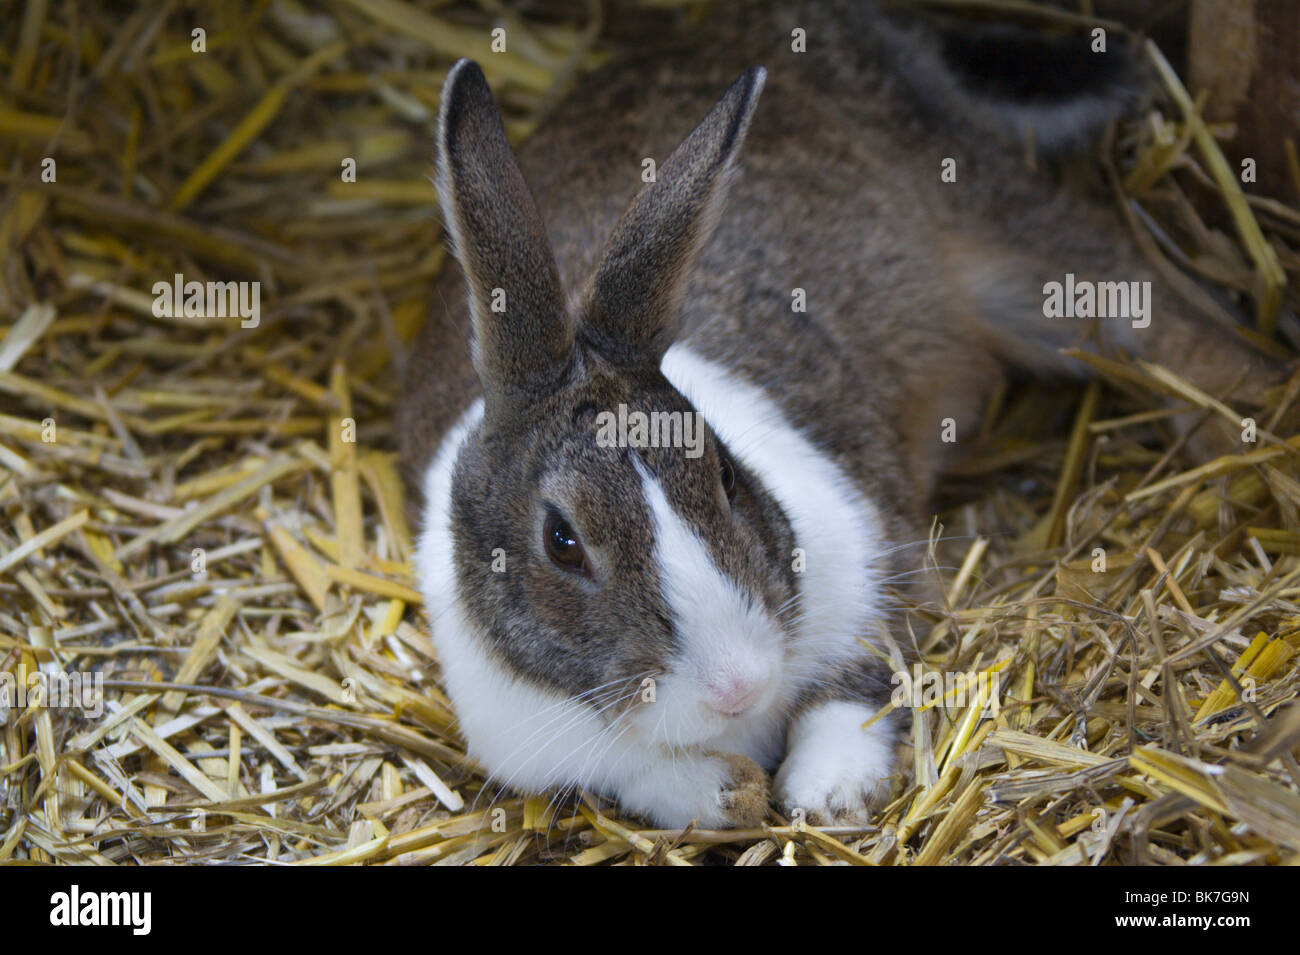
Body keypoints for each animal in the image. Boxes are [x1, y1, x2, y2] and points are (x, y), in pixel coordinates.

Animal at [398, 0, 1287, 828]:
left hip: (1016, 250)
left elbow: (854, 692)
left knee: (1163, 313)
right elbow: (662, 779)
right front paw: (733, 792)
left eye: (725, 473)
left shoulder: (874, 562)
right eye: (562, 542)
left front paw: (825, 795)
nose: (738, 682)